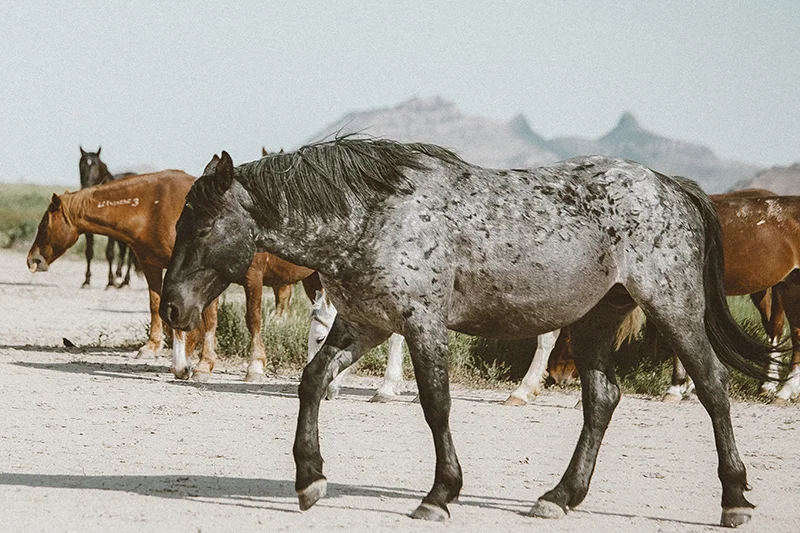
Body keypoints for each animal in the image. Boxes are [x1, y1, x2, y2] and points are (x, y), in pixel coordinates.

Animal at [26, 168, 317, 383]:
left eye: (45, 223)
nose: (32, 260)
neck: (151, 207)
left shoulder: (247, 277)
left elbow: (250, 319)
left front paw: (251, 367)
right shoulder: (157, 267)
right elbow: (166, 308)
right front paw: (165, 351)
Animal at [78, 147, 137, 288]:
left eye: (95, 164)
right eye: (81, 164)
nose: (86, 187)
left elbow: (109, 253)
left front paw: (110, 282)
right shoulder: (88, 232)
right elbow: (89, 252)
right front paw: (86, 281)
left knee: (130, 254)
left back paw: (125, 281)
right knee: (123, 251)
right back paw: (119, 276)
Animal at [159, 139, 779, 527]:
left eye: (204, 226)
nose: (172, 307)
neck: (373, 213)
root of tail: (671, 186)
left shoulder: (422, 324)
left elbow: (436, 404)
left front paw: (439, 495)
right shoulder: (364, 324)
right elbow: (311, 382)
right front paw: (310, 479)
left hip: (673, 308)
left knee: (713, 387)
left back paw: (733, 499)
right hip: (596, 320)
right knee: (602, 399)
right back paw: (560, 496)